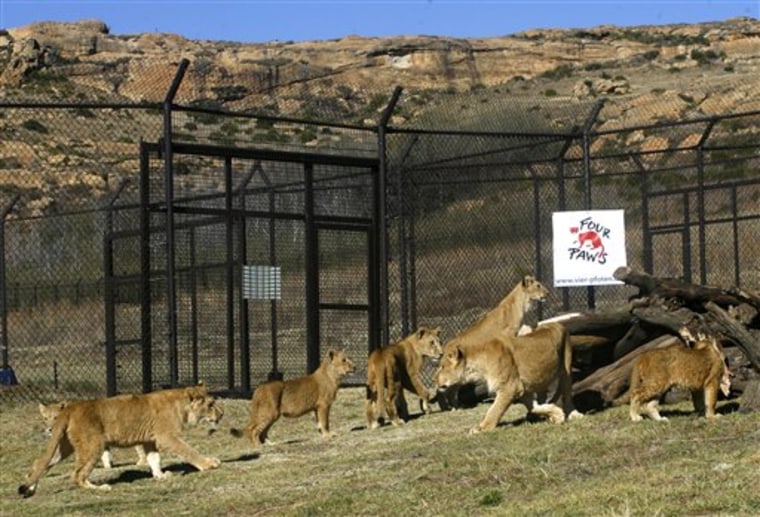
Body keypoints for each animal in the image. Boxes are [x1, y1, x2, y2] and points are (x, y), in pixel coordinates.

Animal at [19, 383, 223, 497]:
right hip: (93, 445)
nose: (222, 414)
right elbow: (189, 451)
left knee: (40, 462)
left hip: (65, 446)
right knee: (77, 475)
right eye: (210, 404)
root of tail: (71, 407)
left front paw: (160, 476)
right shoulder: (167, 436)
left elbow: (154, 459)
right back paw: (99, 488)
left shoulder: (150, 440)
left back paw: (30, 488)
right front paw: (208, 464)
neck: (182, 406)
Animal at [435, 322, 579, 433]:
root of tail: (557, 324)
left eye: (442, 367)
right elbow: (534, 407)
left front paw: (482, 428)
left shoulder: (510, 387)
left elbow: (494, 410)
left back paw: (573, 414)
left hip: (566, 370)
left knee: (567, 394)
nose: (434, 380)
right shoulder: (523, 390)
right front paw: (555, 413)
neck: (478, 366)